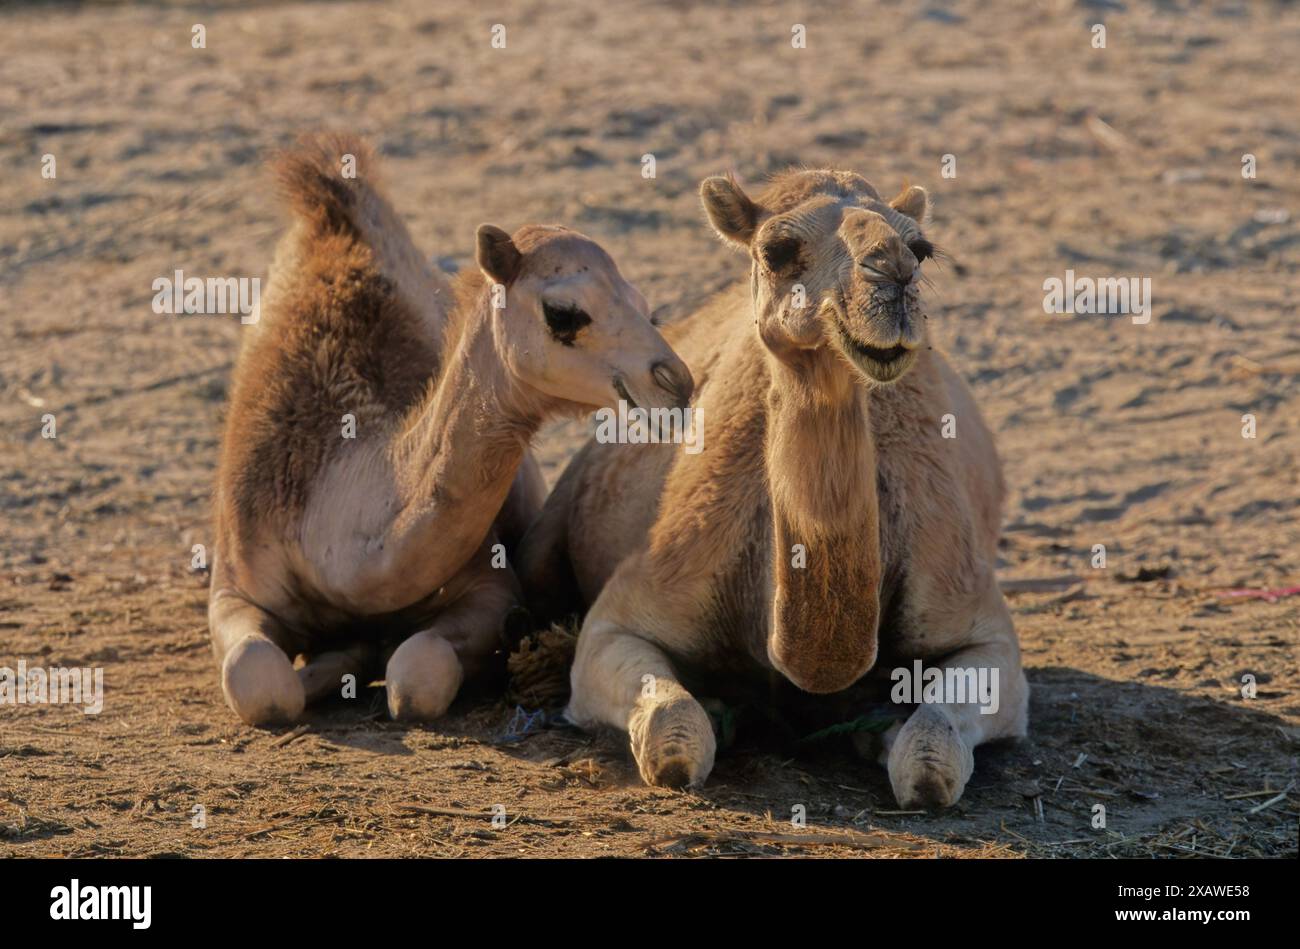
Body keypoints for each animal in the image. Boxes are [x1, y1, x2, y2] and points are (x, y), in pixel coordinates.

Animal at [209, 133, 693, 726]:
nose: (678, 383)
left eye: (649, 309)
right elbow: (261, 680)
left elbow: (417, 676)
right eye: (563, 312)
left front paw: (364, 655)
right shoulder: (234, 582)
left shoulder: (490, 584)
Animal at [518, 169, 1028, 808]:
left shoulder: (980, 623)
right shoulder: (622, 616)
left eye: (922, 247)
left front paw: (881, 731)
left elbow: (928, 761)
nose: (894, 272)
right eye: (778, 249)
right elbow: (673, 740)